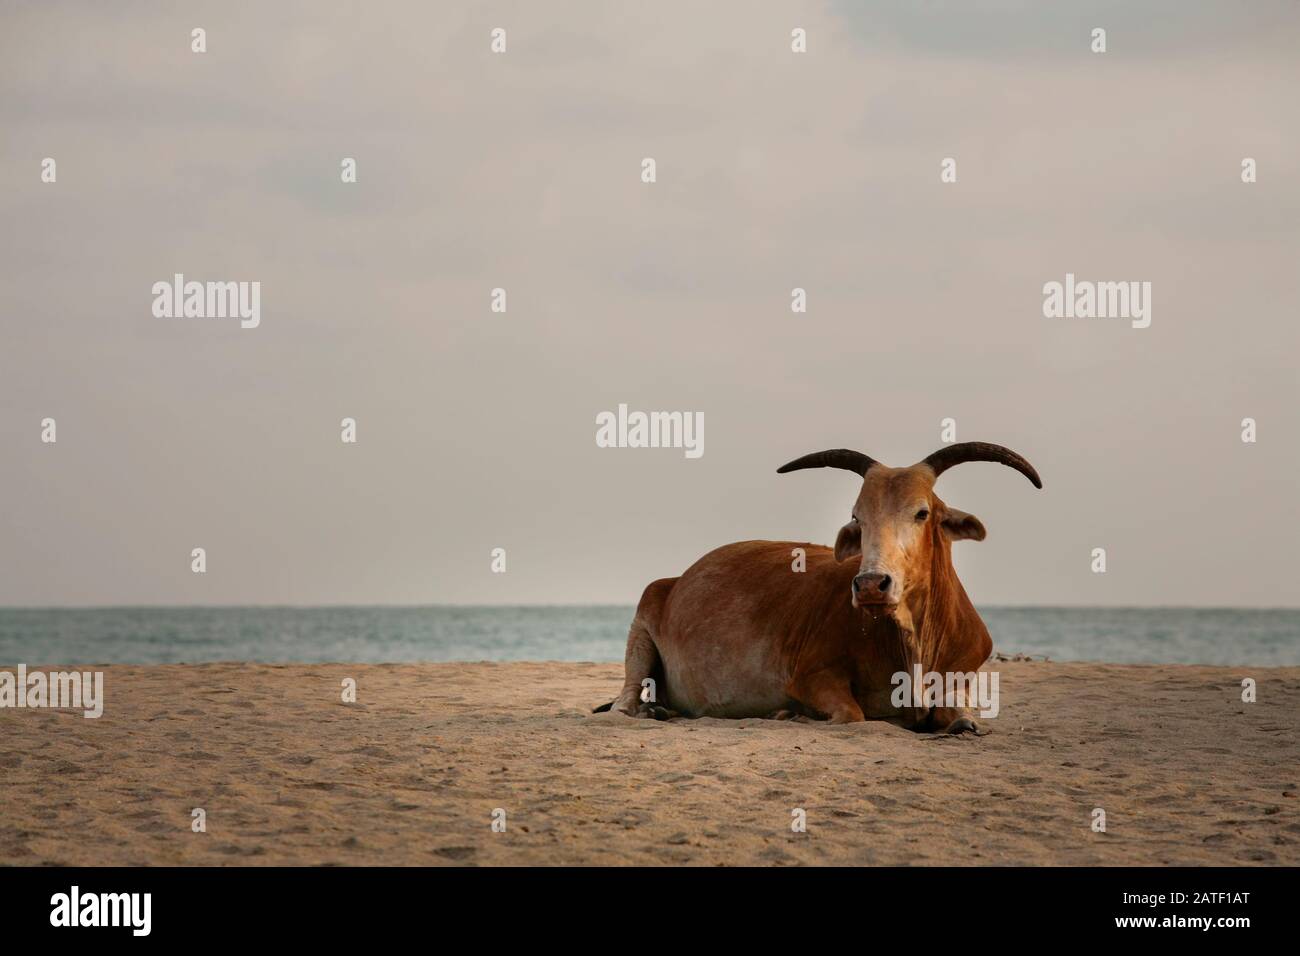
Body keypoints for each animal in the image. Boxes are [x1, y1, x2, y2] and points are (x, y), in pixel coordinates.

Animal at [595, 442, 1041, 734]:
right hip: (641, 625)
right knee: (624, 702)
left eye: (922, 512)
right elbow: (853, 715)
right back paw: (650, 712)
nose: (871, 584)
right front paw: (790, 714)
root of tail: (675, 581)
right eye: (858, 516)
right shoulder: (811, 675)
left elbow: (963, 721)